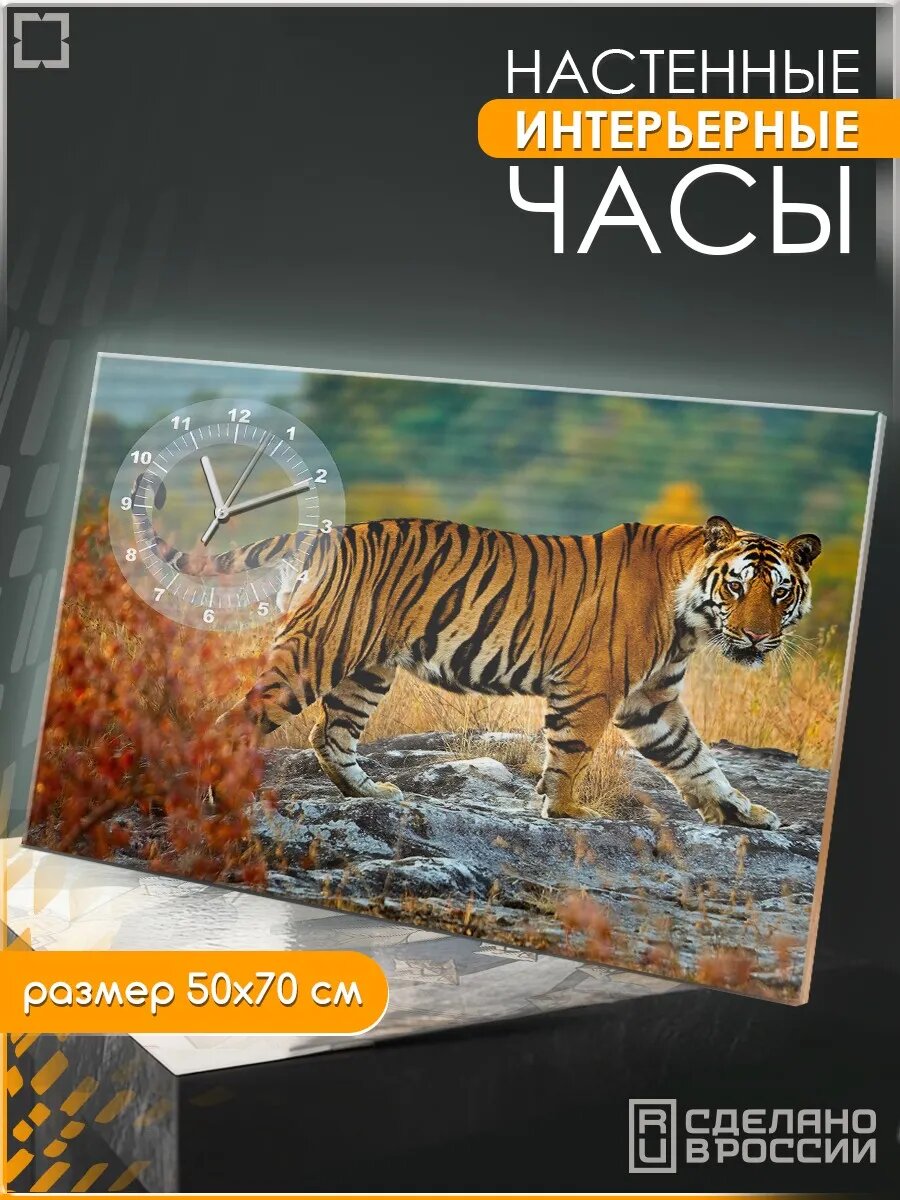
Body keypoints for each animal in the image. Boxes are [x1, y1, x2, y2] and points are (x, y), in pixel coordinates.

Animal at [162, 514, 821, 827]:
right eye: (736, 586)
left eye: (779, 592)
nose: (757, 636)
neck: (689, 620)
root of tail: (327, 533)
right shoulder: (592, 689)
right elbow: (570, 754)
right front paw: (565, 812)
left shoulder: (651, 701)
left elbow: (697, 759)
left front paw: (743, 813)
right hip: (317, 653)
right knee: (241, 718)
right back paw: (220, 796)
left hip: (367, 668)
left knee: (331, 734)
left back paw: (370, 791)